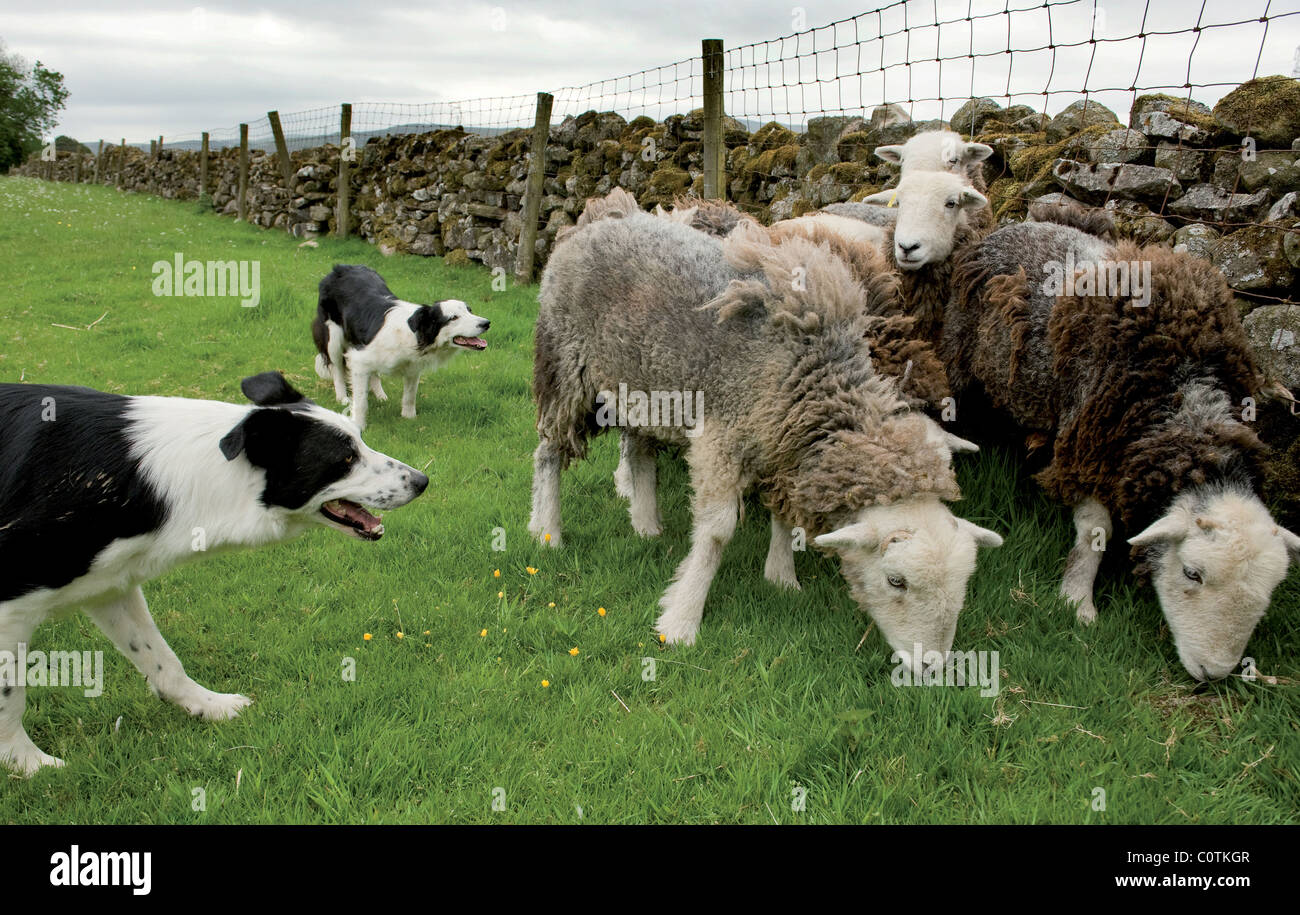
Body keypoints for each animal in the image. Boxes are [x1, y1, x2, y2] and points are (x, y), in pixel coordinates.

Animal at [530, 194, 1003, 666]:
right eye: (896, 580)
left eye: (963, 583)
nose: (931, 666)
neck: (812, 377)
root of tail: (603, 215)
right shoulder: (722, 436)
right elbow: (717, 533)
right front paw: (682, 619)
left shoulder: (781, 443)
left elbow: (783, 515)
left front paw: (781, 579)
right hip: (567, 366)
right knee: (549, 451)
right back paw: (547, 532)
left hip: (643, 382)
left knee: (639, 447)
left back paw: (646, 524)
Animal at [933, 211, 1300, 680]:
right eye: (1192, 573)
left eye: (1272, 590)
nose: (1213, 672)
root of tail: (1019, 222)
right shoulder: (1087, 447)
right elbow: (1096, 531)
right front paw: (1077, 601)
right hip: (959, 351)